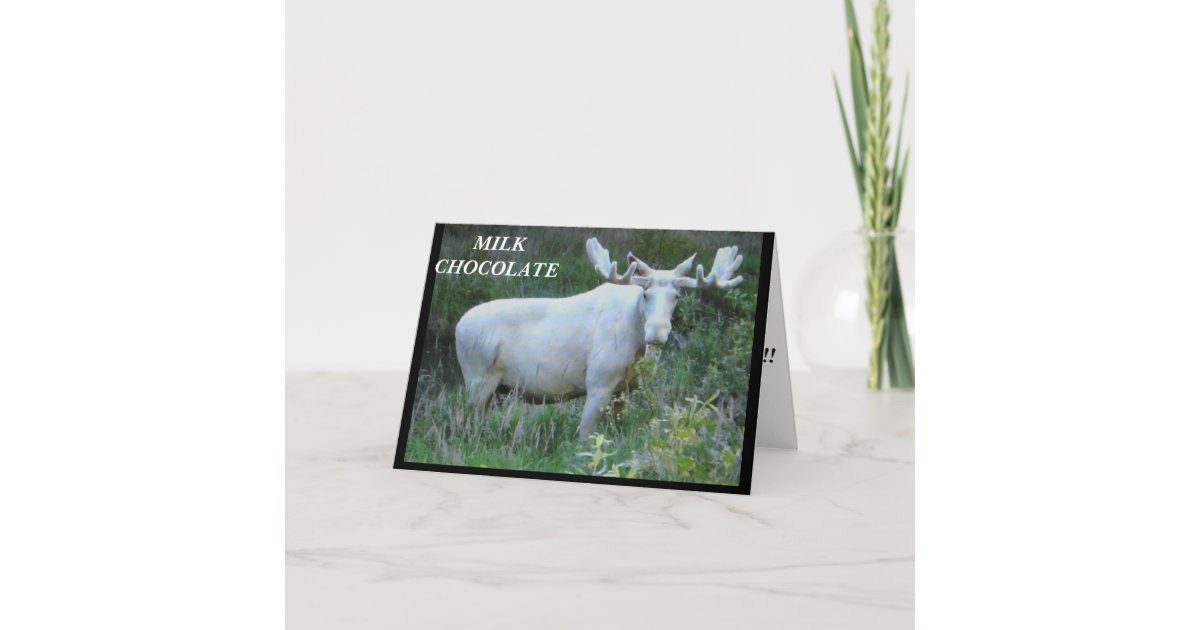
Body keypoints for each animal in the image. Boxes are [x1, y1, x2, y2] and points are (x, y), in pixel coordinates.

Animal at [453, 237, 745, 438]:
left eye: (676, 296)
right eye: (645, 294)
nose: (657, 333)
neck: (636, 346)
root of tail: (458, 326)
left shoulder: (624, 390)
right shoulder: (598, 383)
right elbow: (585, 435)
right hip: (477, 380)